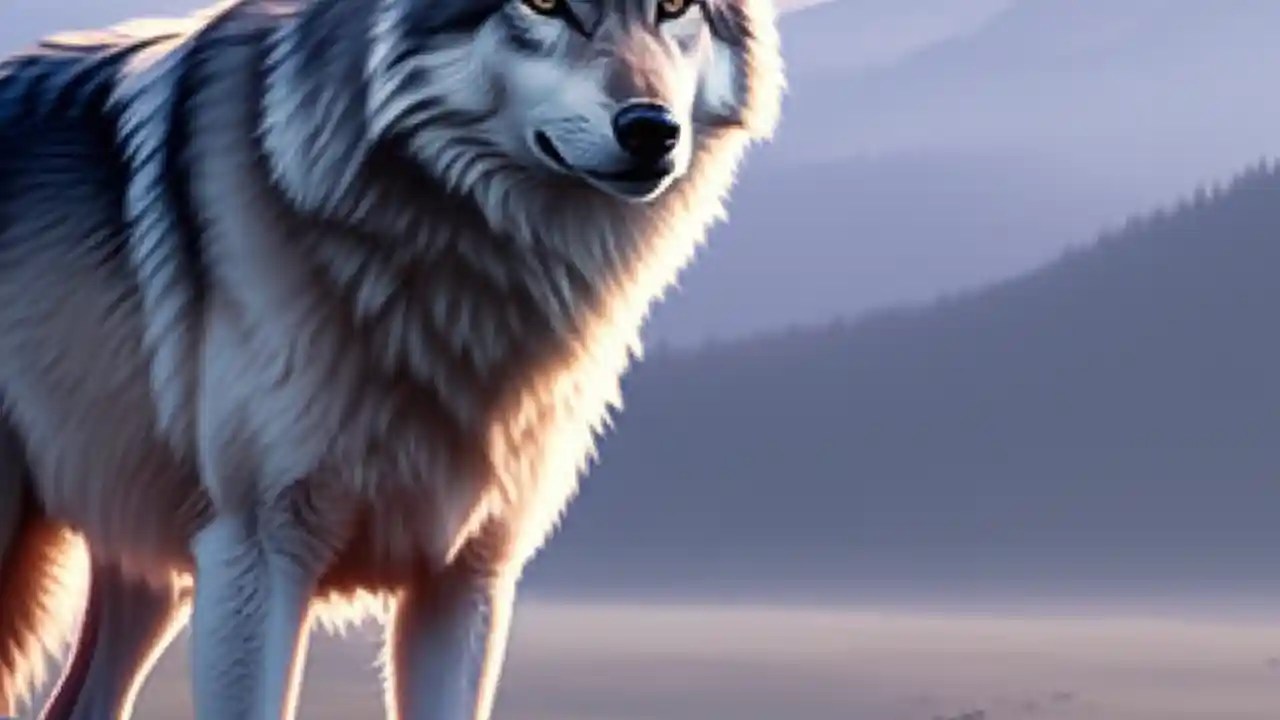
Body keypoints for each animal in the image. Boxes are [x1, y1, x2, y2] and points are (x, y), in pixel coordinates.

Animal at [0, 0, 782, 717]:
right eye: (543, 5)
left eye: (673, 8)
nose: (652, 129)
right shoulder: (255, 553)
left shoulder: (467, 574)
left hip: (152, 574)